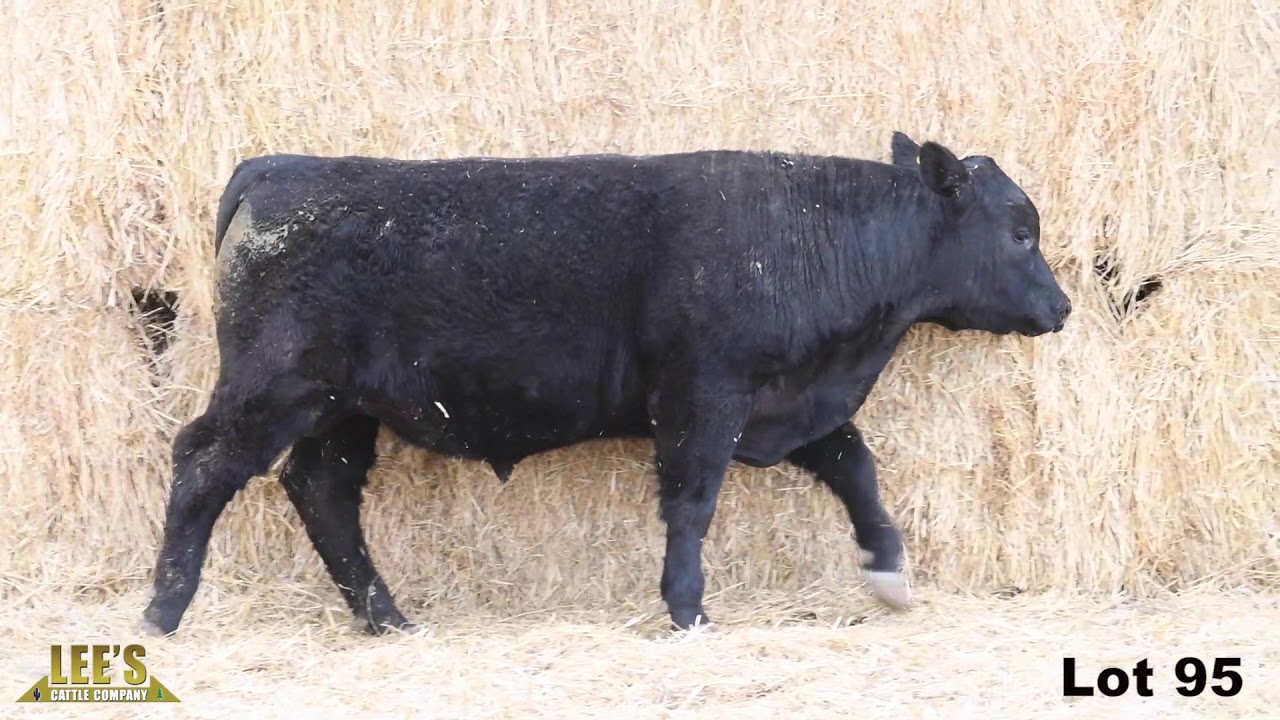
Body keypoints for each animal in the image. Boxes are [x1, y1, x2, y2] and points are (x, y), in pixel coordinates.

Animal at [140, 131, 1071, 637]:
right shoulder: (705, 398)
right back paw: (164, 610)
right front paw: (688, 610)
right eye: (1021, 232)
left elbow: (858, 470)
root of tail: (280, 166)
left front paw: (889, 571)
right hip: (271, 388)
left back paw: (388, 620)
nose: (1061, 307)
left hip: (341, 408)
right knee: (201, 465)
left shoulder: (790, 405)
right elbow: (692, 503)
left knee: (322, 490)